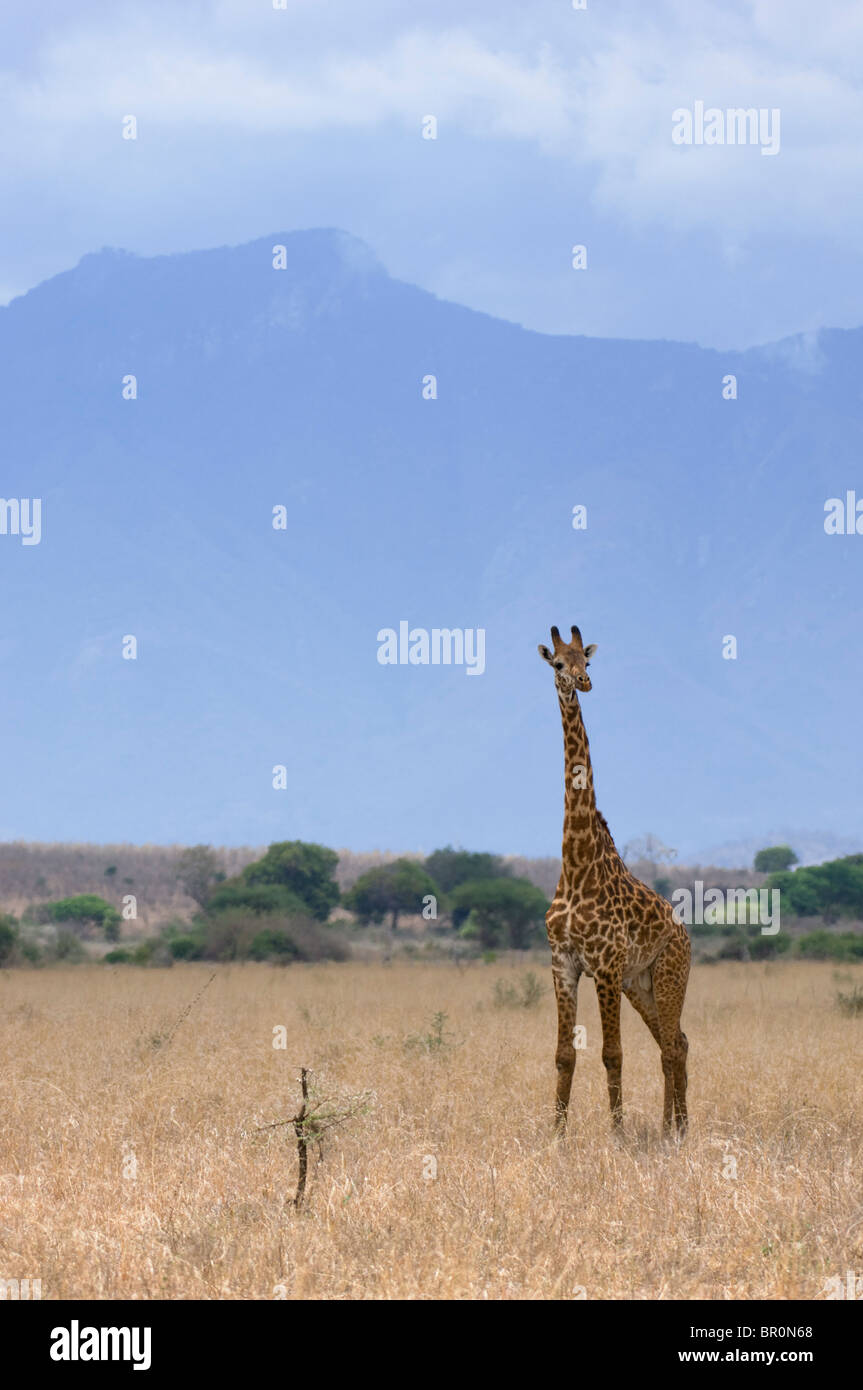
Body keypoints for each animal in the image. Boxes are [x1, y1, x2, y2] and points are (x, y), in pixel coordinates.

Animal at [537, 624, 690, 1139]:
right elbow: (564, 1055)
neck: (577, 862)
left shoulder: (604, 966)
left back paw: (674, 1132)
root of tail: (684, 931)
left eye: (587, 660)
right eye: (558, 663)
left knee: (672, 1047)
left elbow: (612, 1054)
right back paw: (673, 1127)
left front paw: (618, 1135)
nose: (582, 683)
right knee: (676, 1042)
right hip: (639, 984)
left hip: (669, 974)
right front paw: (556, 1135)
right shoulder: (563, 965)